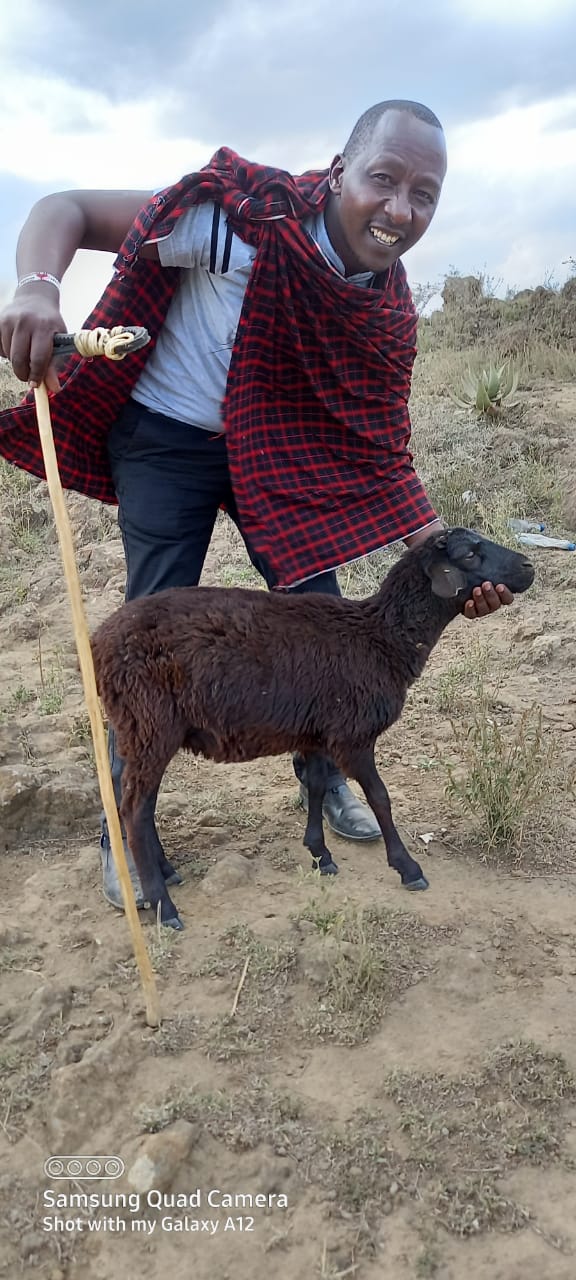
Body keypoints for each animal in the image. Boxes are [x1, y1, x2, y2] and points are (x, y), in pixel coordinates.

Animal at [90, 527, 535, 929]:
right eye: (471, 554)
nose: (529, 567)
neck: (381, 637)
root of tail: (98, 644)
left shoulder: (319, 730)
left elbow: (318, 786)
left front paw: (320, 855)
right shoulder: (352, 735)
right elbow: (380, 798)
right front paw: (407, 867)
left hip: (141, 729)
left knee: (136, 803)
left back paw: (165, 873)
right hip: (149, 724)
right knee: (134, 809)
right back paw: (163, 906)